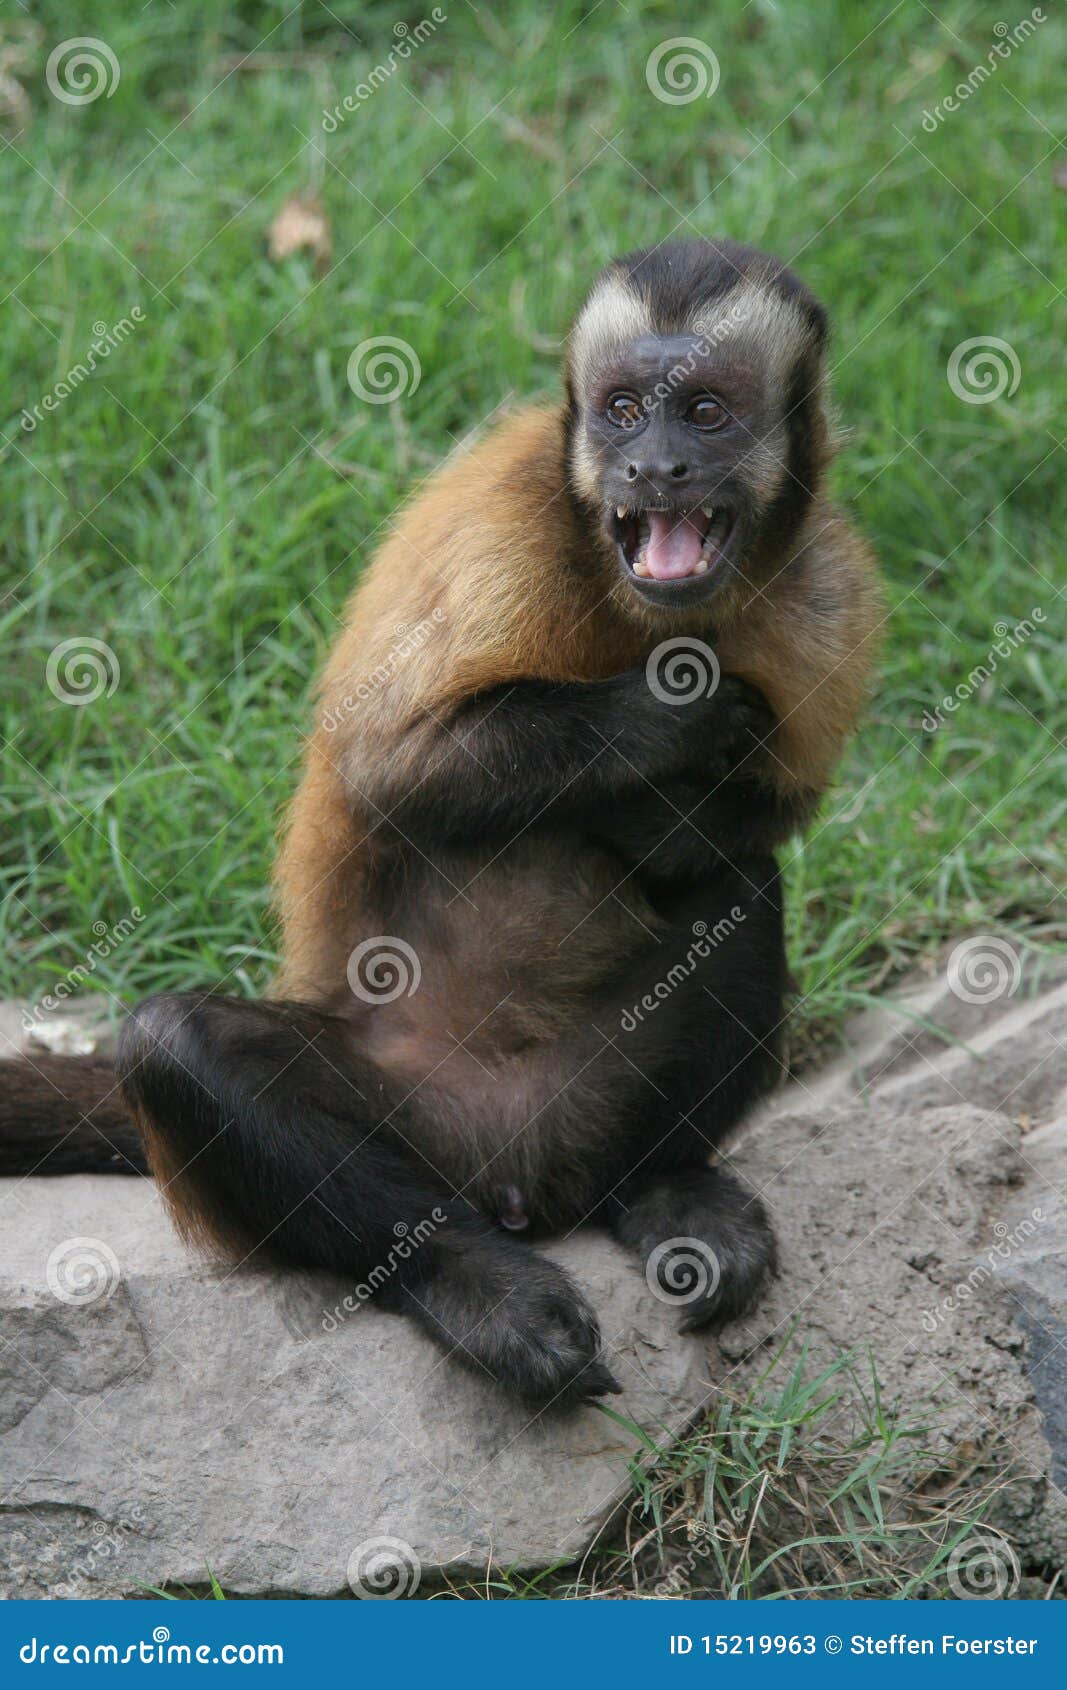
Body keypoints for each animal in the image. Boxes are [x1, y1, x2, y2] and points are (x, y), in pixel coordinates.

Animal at [0, 239, 881, 1409]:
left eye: (702, 412)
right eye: (621, 411)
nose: (653, 469)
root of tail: (504, 1170)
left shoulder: (831, 594)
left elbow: (749, 821)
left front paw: (683, 788)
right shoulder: (503, 516)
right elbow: (384, 770)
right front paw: (666, 718)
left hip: (576, 1114)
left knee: (736, 885)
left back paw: (658, 1185)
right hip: (408, 1114)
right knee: (177, 1045)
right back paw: (466, 1278)